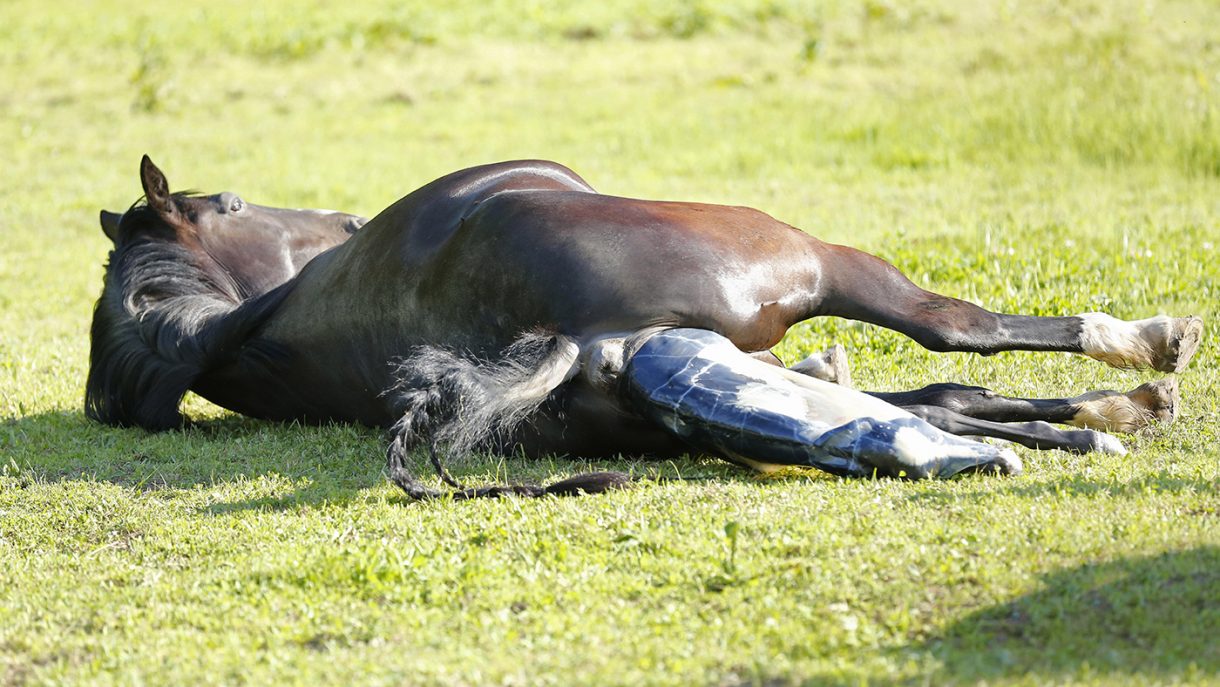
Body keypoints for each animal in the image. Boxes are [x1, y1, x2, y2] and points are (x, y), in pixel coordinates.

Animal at [87, 156, 1201, 499]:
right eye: (233, 200)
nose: (341, 218)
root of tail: (581, 342)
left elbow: (926, 400)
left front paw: (1087, 423)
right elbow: (946, 365)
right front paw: (1131, 380)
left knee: (934, 390)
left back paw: (1101, 415)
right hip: (818, 257)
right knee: (950, 331)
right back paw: (1143, 349)